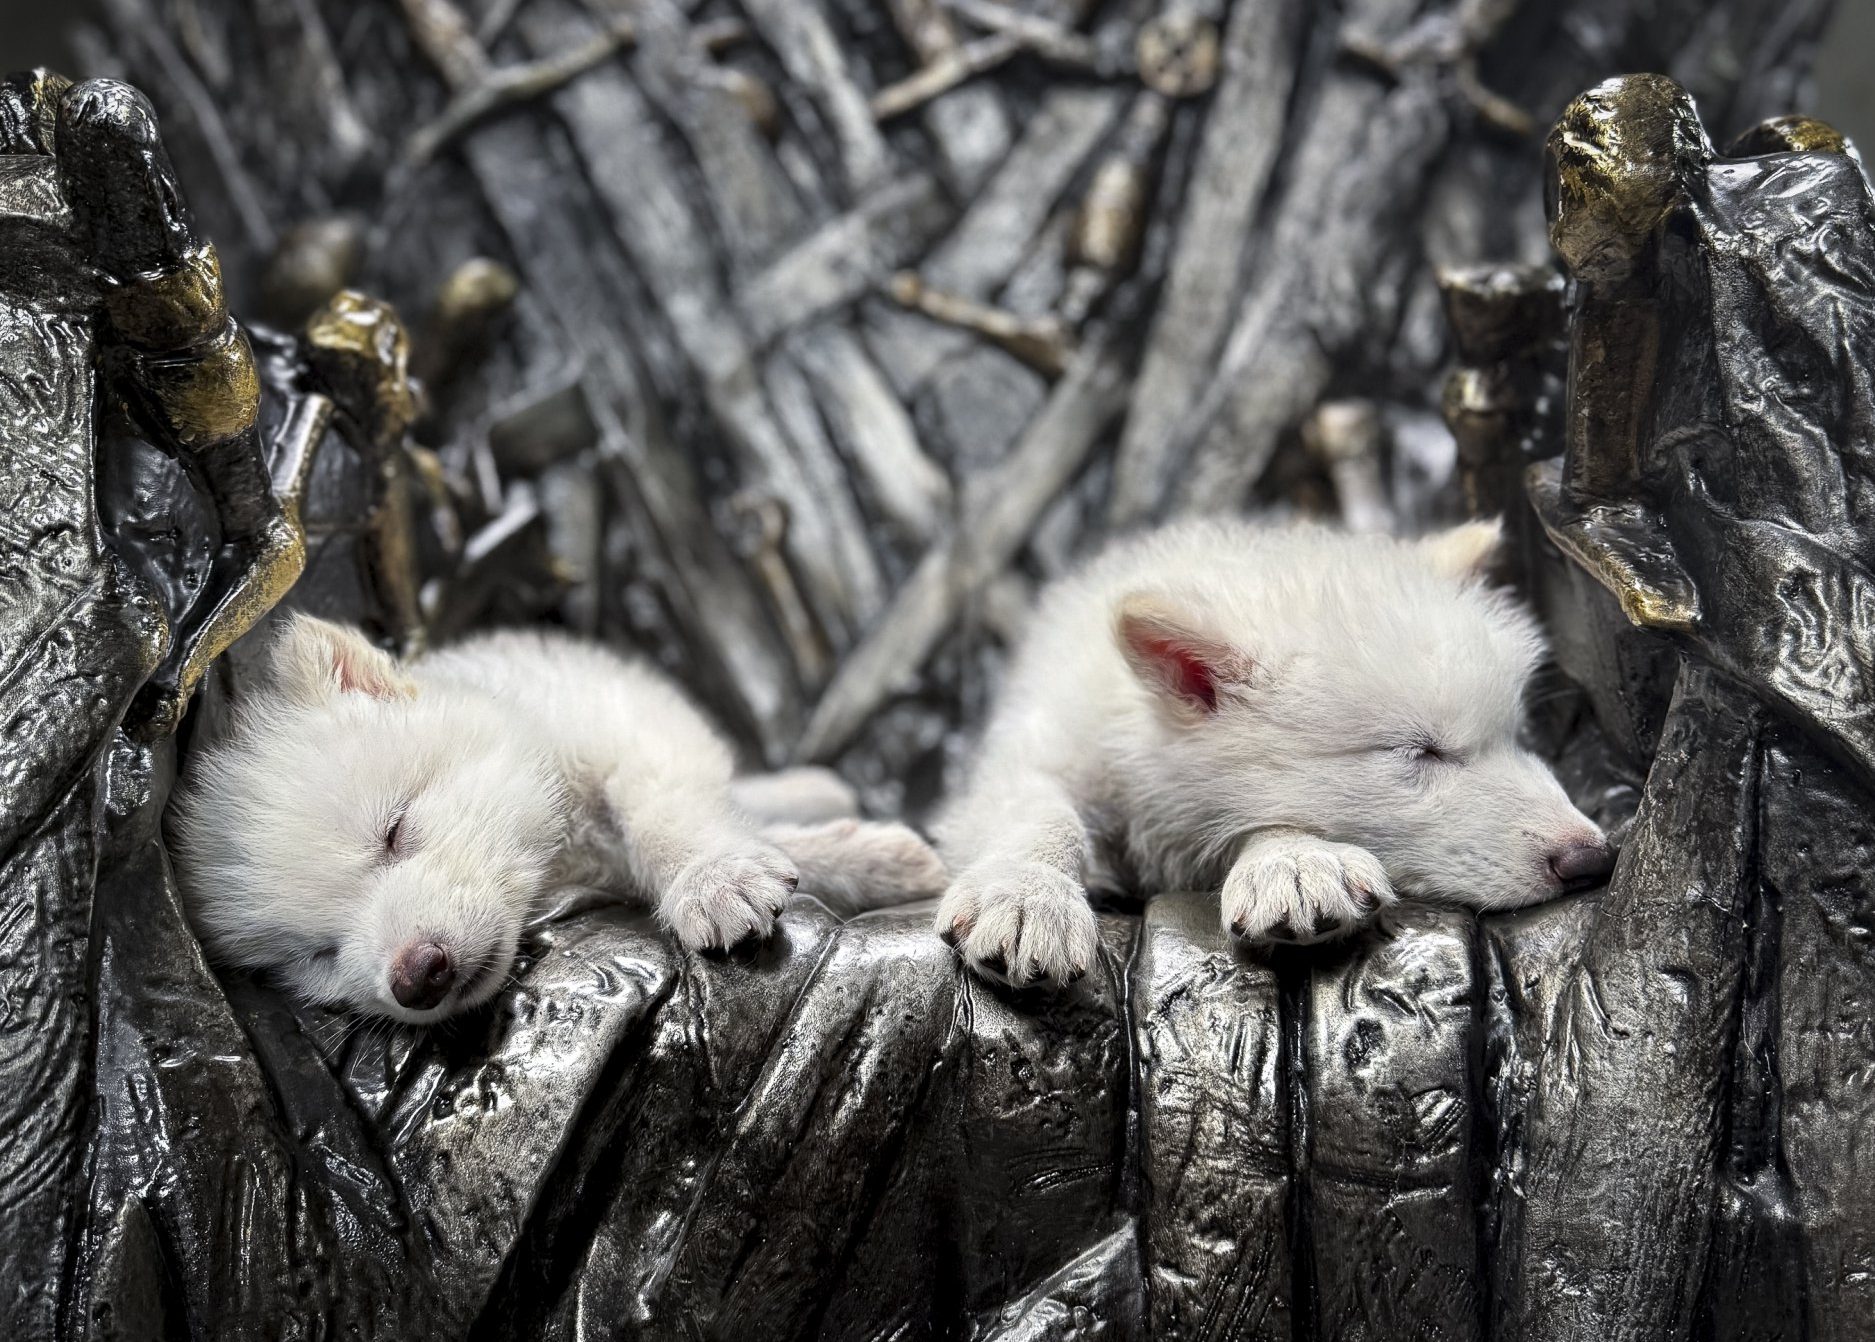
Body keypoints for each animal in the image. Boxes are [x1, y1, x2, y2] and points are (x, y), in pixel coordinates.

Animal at [170, 617, 948, 1022]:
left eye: (394, 830)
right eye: (318, 956)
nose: (415, 977)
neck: (559, 854)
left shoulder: (630, 728)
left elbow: (665, 812)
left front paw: (714, 877)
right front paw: (869, 861)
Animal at [934, 517, 1613, 985]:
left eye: (1515, 738)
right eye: (1420, 752)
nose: (1595, 860)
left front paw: (1293, 861)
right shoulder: (1036, 749)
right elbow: (1040, 812)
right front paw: (1025, 895)